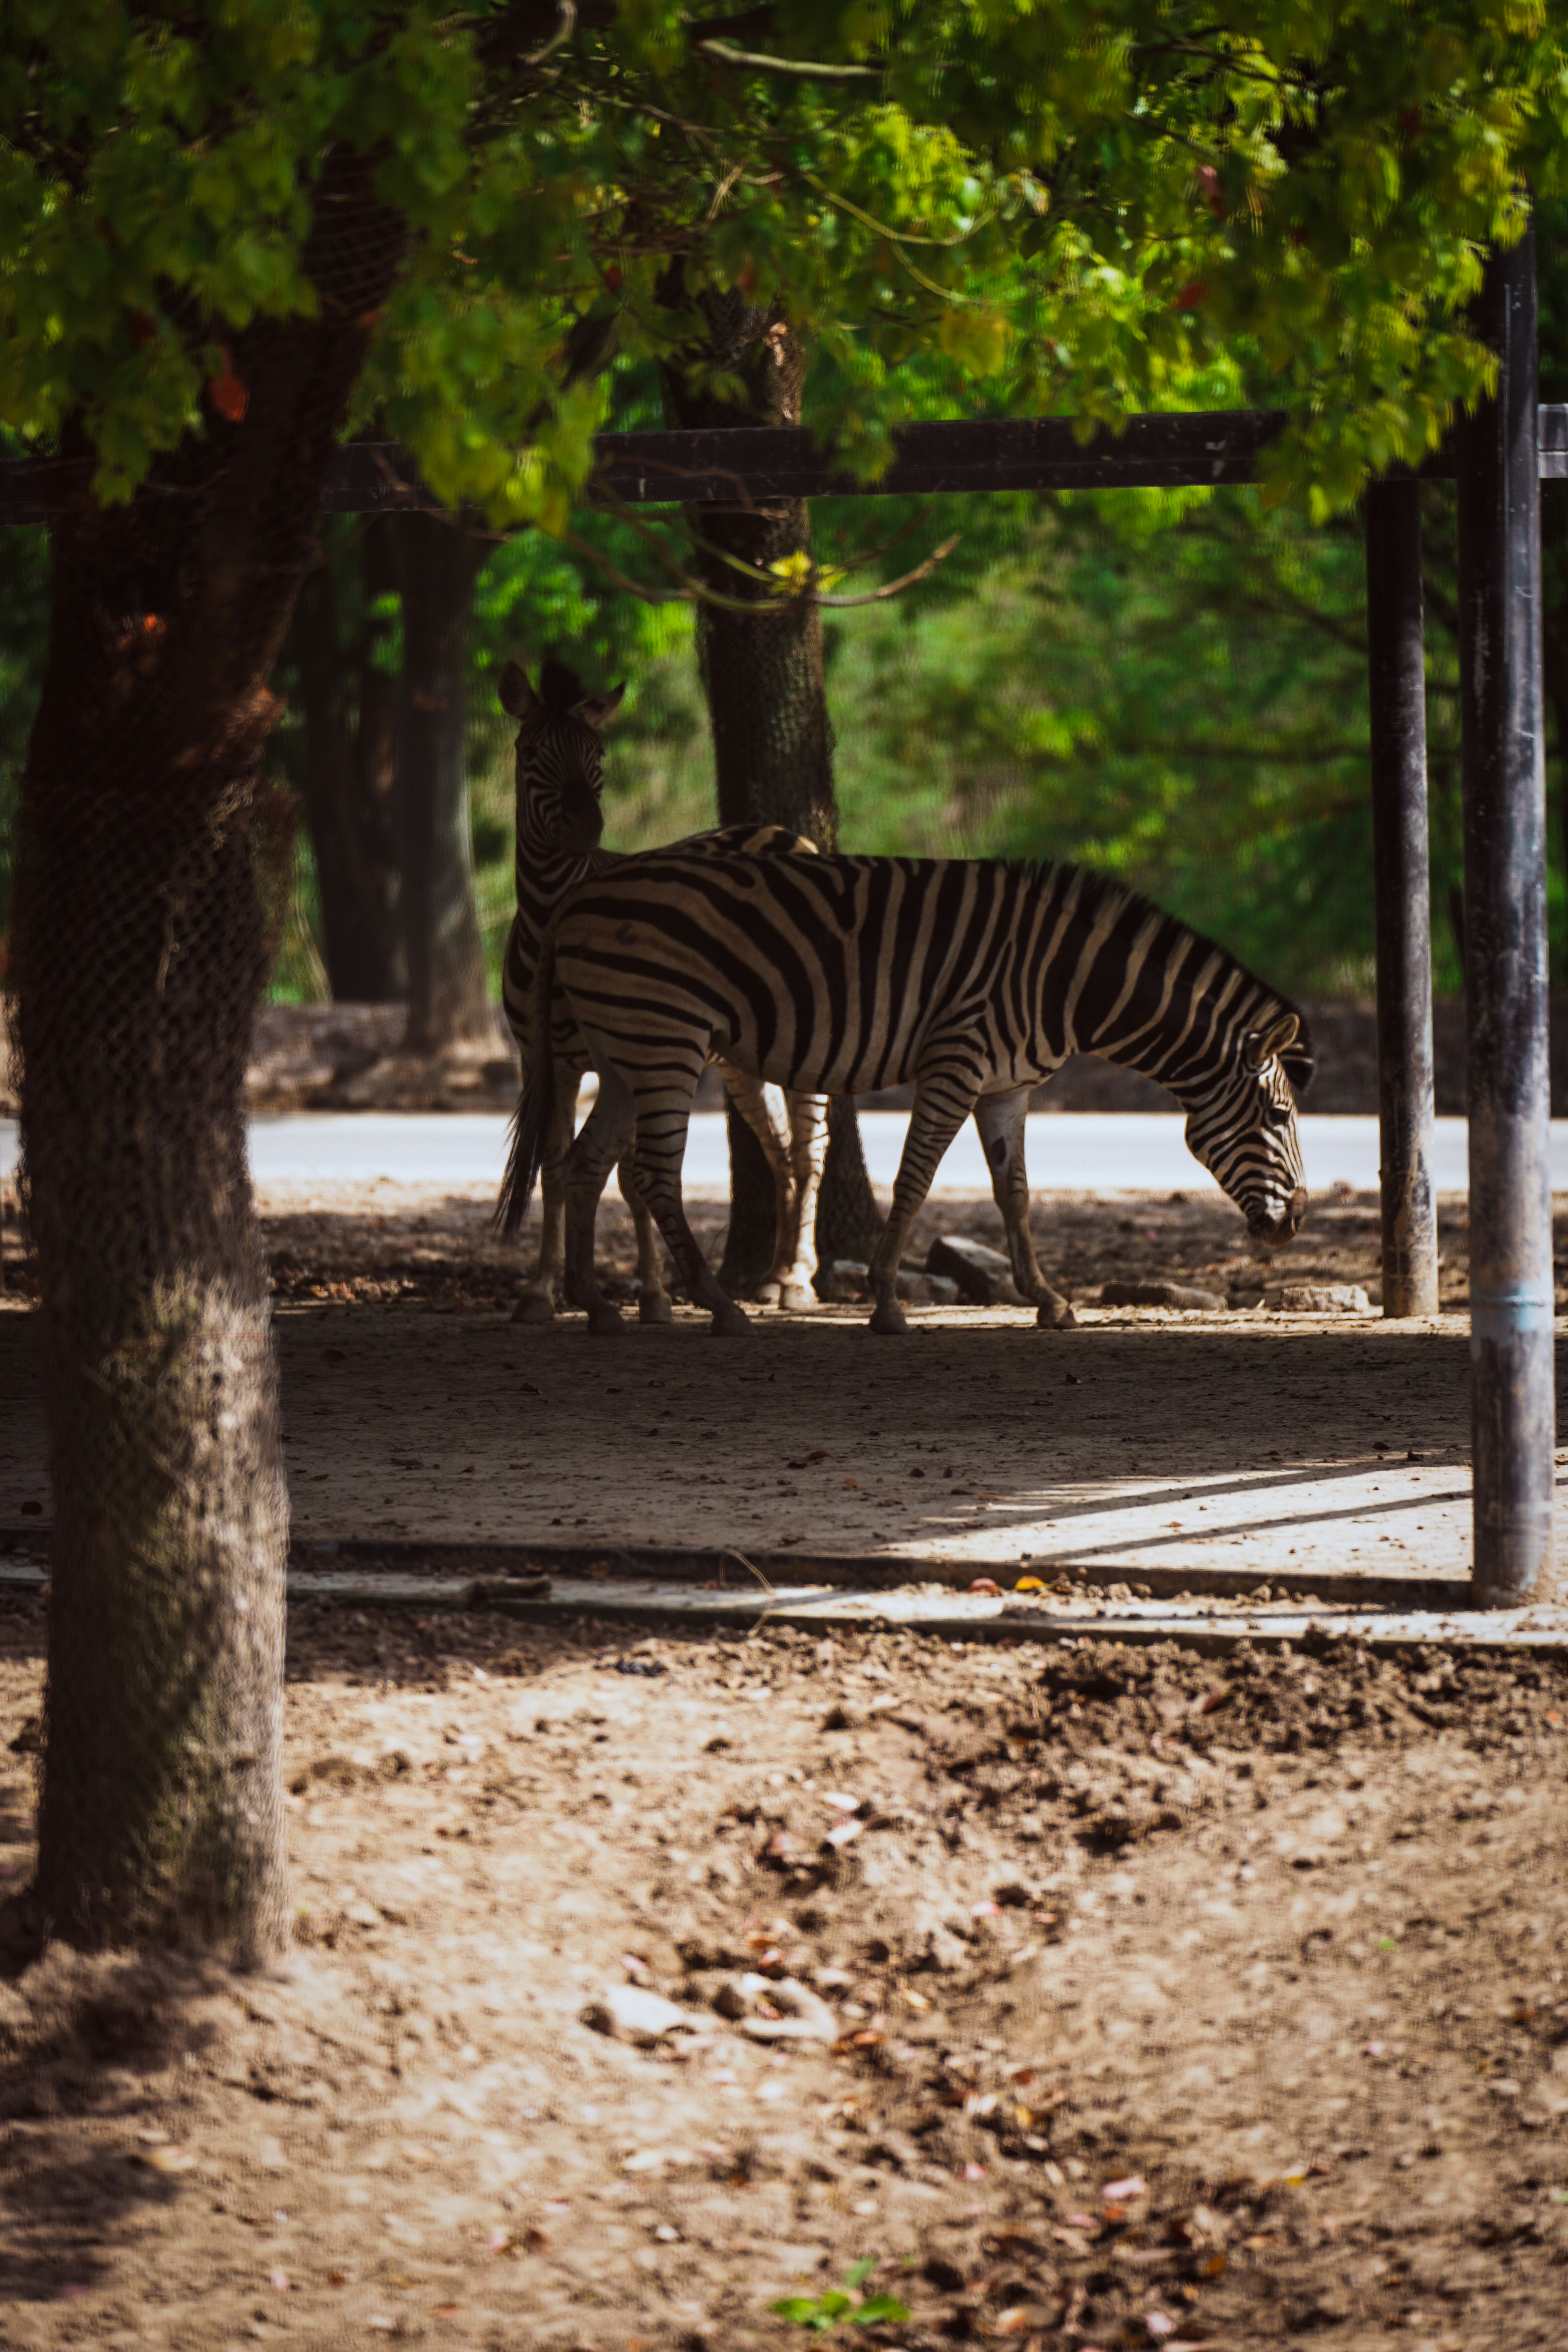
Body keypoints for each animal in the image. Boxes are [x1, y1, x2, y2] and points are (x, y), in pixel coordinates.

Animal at [495, 658, 827, 1328]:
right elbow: (553, 1169)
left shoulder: (627, 1052)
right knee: (781, 1149)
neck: (551, 919)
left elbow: (624, 1174)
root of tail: (782, 831)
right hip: (742, 1057)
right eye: (530, 751)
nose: (586, 827)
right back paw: (773, 1274)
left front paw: (652, 1295)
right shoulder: (543, 1061)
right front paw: (541, 1292)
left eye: (597, 753)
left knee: (811, 1149)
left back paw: (799, 1278)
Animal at [506, 847, 1313, 1337]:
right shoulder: (954, 1061)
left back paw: (596, 1305)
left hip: (623, 1054)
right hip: (664, 1039)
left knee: (582, 1164)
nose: (1294, 1224)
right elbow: (914, 1179)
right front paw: (889, 1301)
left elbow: (1015, 1194)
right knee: (649, 1174)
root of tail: (581, 893)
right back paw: (717, 1306)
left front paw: (1047, 1299)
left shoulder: (1005, 1088)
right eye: (1276, 1115)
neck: (1066, 981)